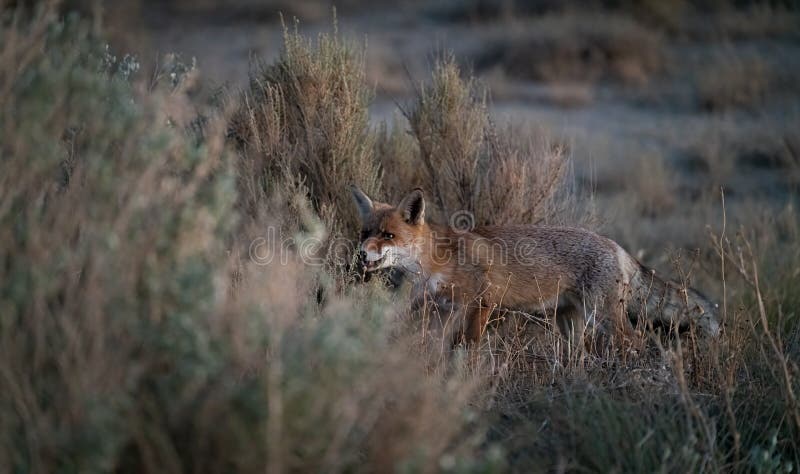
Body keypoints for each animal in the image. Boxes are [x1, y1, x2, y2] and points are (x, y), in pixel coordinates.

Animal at [351, 185, 721, 345]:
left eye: (388, 235)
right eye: (365, 232)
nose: (361, 254)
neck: (438, 260)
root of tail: (618, 247)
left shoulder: (481, 303)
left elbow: (468, 347)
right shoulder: (443, 309)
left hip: (601, 317)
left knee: (636, 340)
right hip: (569, 322)